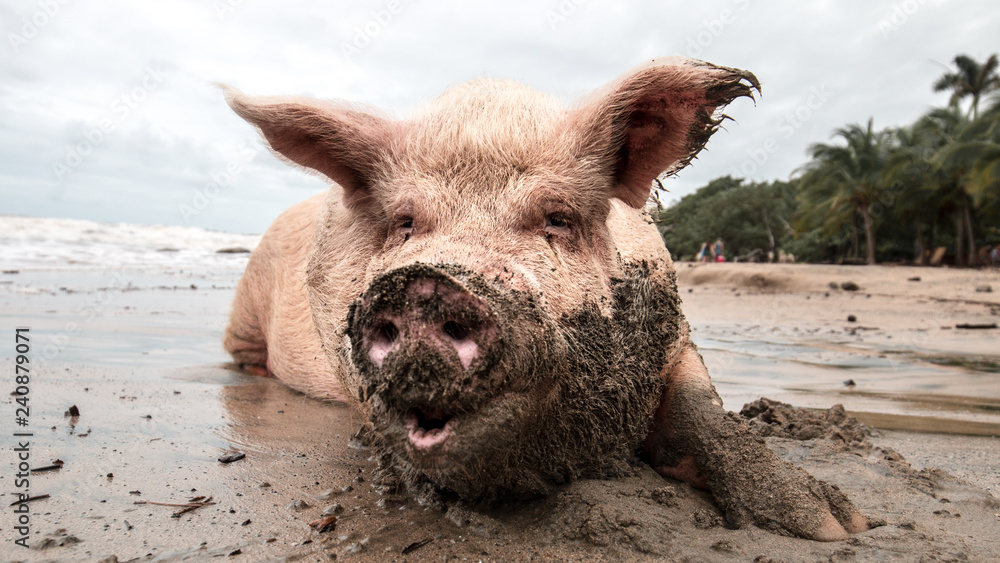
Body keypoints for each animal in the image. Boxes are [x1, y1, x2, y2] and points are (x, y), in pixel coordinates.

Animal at [221, 57, 869, 541]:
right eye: (404, 223)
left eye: (557, 217)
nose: (427, 285)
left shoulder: (678, 334)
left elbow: (704, 411)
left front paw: (834, 526)